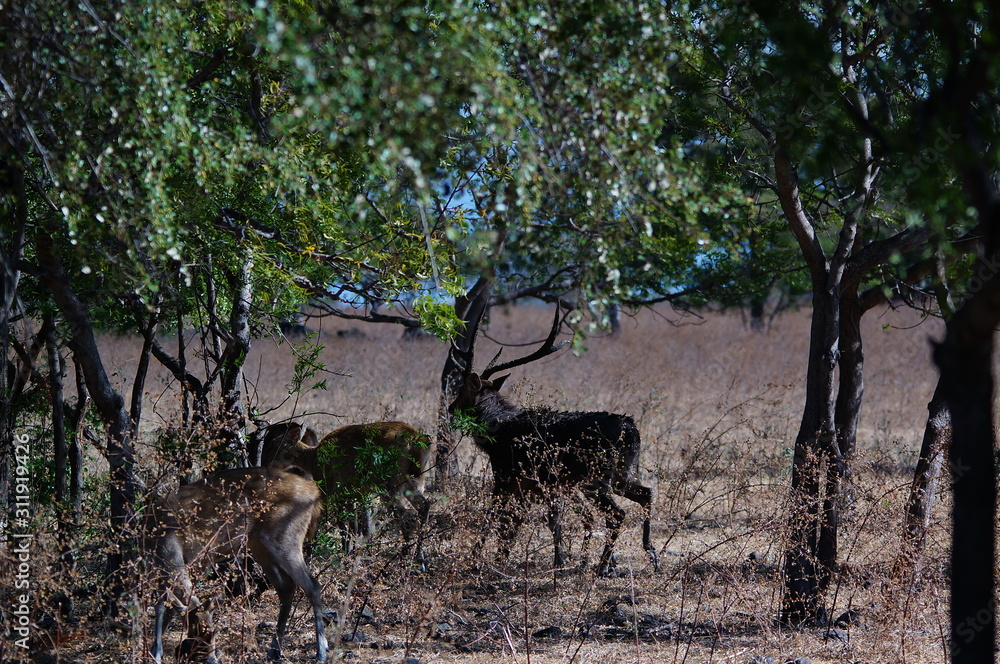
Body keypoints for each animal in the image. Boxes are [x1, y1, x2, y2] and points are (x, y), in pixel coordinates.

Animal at [147, 465, 328, 664]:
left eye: (213, 634)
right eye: (195, 637)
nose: (212, 659)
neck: (165, 538)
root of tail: (313, 490)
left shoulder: (200, 559)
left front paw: (156, 652)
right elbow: (162, 605)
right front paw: (154, 651)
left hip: (287, 536)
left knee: (312, 585)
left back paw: (321, 651)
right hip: (259, 544)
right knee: (286, 587)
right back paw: (275, 649)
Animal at [261, 421, 433, 565]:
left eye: (273, 446)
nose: (265, 465)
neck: (312, 460)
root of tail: (417, 440)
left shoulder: (330, 490)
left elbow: (338, 523)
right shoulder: (352, 493)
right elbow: (354, 525)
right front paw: (351, 552)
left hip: (390, 482)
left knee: (405, 515)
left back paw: (405, 556)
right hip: (415, 481)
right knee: (424, 506)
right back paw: (420, 560)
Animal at [448, 305, 660, 577]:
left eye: (462, 389)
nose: (451, 407)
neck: (498, 429)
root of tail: (632, 430)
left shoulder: (506, 477)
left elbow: (494, 517)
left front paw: (477, 561)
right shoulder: (537, 487)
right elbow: (528, 523)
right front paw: (511, 559)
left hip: (597, 478)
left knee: (617, 513)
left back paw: (603, 566)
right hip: (625, 473)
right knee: (646, 493)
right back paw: (651, 554)